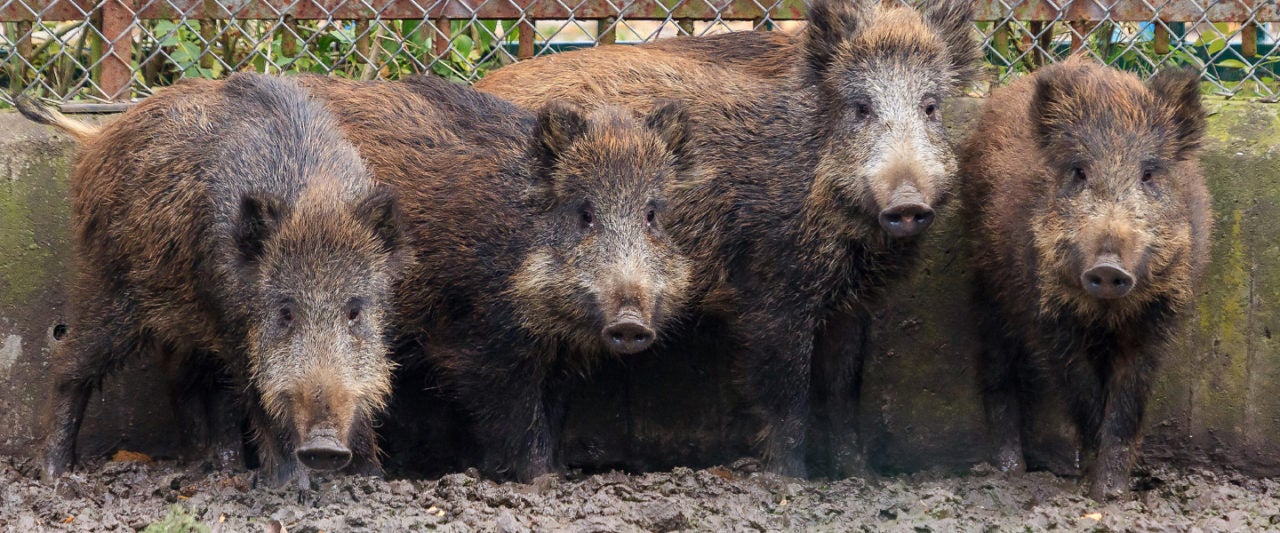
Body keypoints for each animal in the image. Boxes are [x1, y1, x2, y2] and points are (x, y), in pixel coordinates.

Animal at [17, 73, 405, 488]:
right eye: (285, 312)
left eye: (354, 311)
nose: (325, 447)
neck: (316, 198)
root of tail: (99, 138)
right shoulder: (234, 325)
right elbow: (260, 398)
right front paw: (290, 487)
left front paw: (371, 477)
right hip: (110, 285)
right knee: (71, 364)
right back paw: (55, 474)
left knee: (184, 378)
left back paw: (215, 467)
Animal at [294, 75, 694, 481]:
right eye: (585, 214)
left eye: (651, 215)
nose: (630, 323)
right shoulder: (477, 340)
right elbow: (517, 415)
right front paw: (538, 479)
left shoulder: (557, 357)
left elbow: (552, 412)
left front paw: (558, 473)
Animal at [474, 0, 981, 477]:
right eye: (861, 107)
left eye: (930, 107)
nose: (908, 204)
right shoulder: (772, 292)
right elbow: (787, 394)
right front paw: (789, 480)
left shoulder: (851, 304)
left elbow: (844, 391)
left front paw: (863, 478)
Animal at [960, 58, 1211, 500]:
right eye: (1078, 172)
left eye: (1148, 174)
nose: (1108, 267)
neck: (1107, 310)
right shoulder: (1045, 314)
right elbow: (1079, 389)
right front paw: (1095, 488)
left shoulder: (1158, 317)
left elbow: (1129, 399)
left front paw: (1112, 494)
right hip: (986, 281)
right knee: (995, 365)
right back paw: (1011, 470)